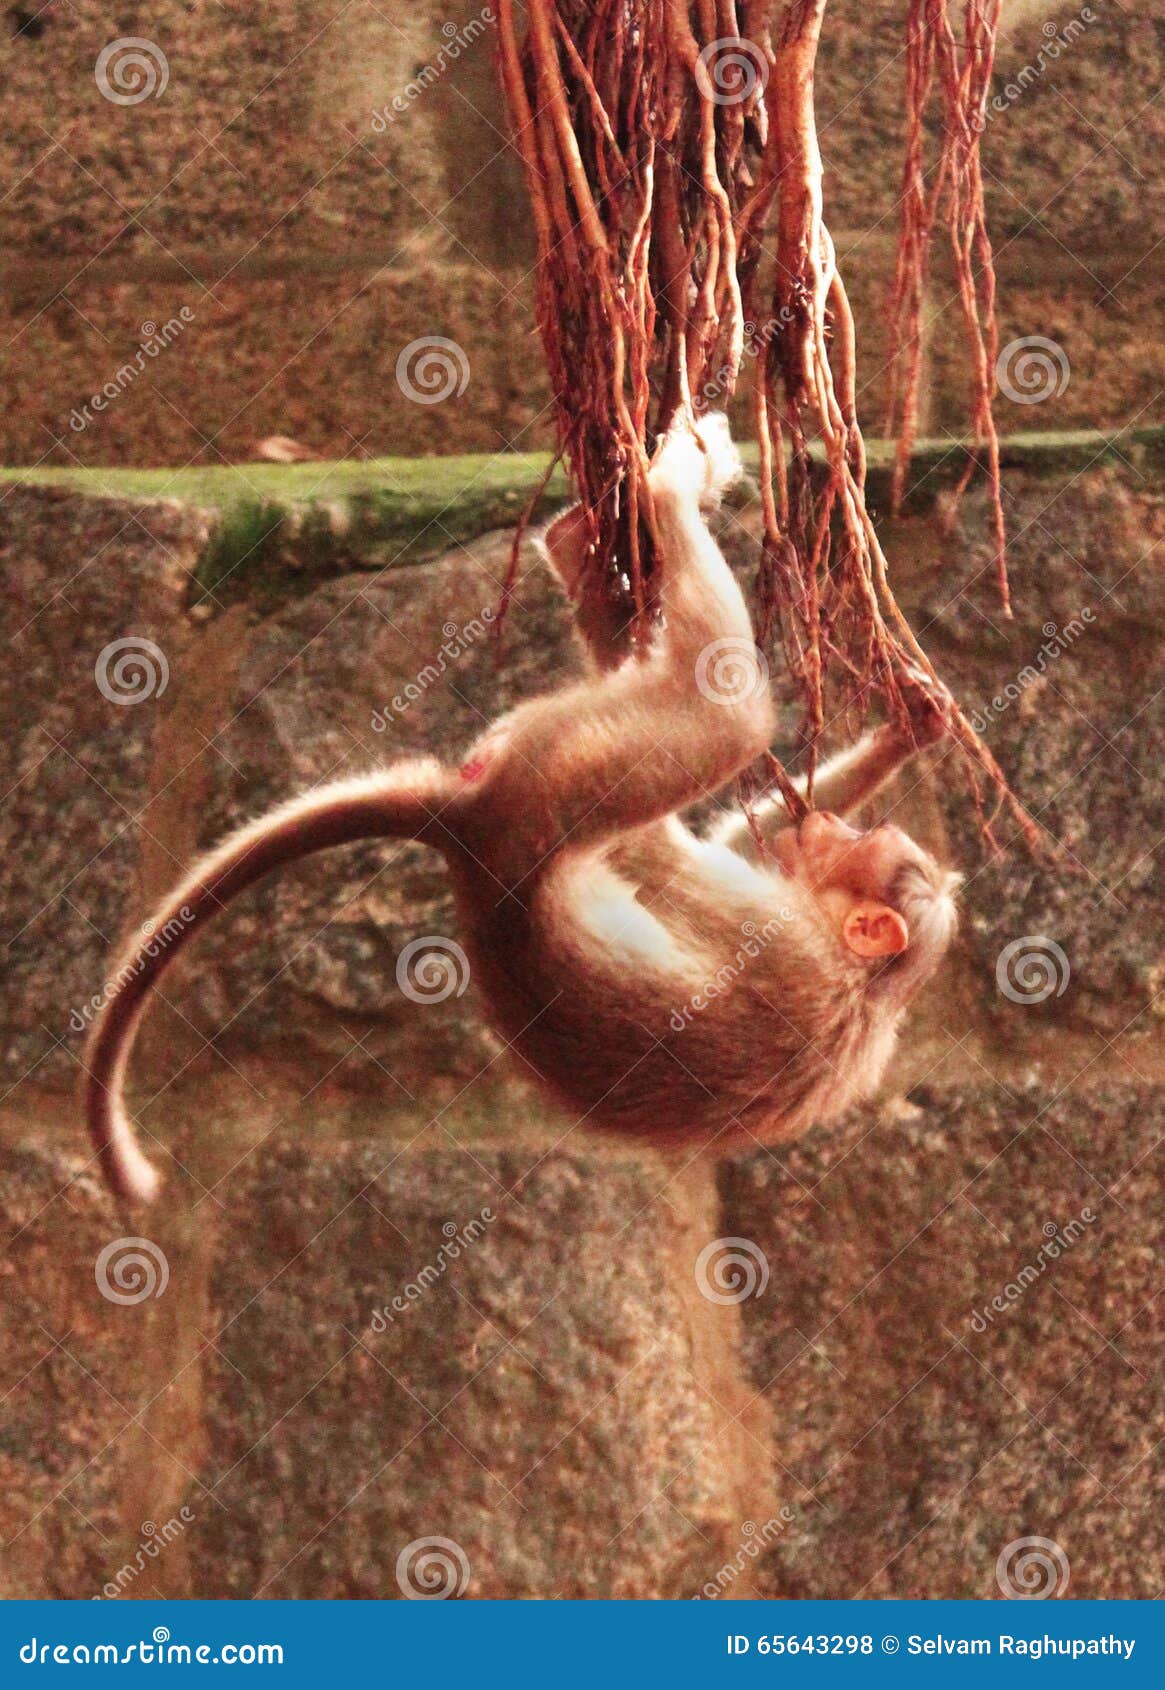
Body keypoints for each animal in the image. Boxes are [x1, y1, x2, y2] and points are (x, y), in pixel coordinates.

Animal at [83, 414, 959, 1205]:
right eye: (868, 836)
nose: (831, 827)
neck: (867, 986)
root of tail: (465, 829)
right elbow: (725, 840)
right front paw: (906, 732)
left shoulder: (780, 943)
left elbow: (670, 853)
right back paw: (595, 545)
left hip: (555, 771)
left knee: (724, 726)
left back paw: (659, 495)